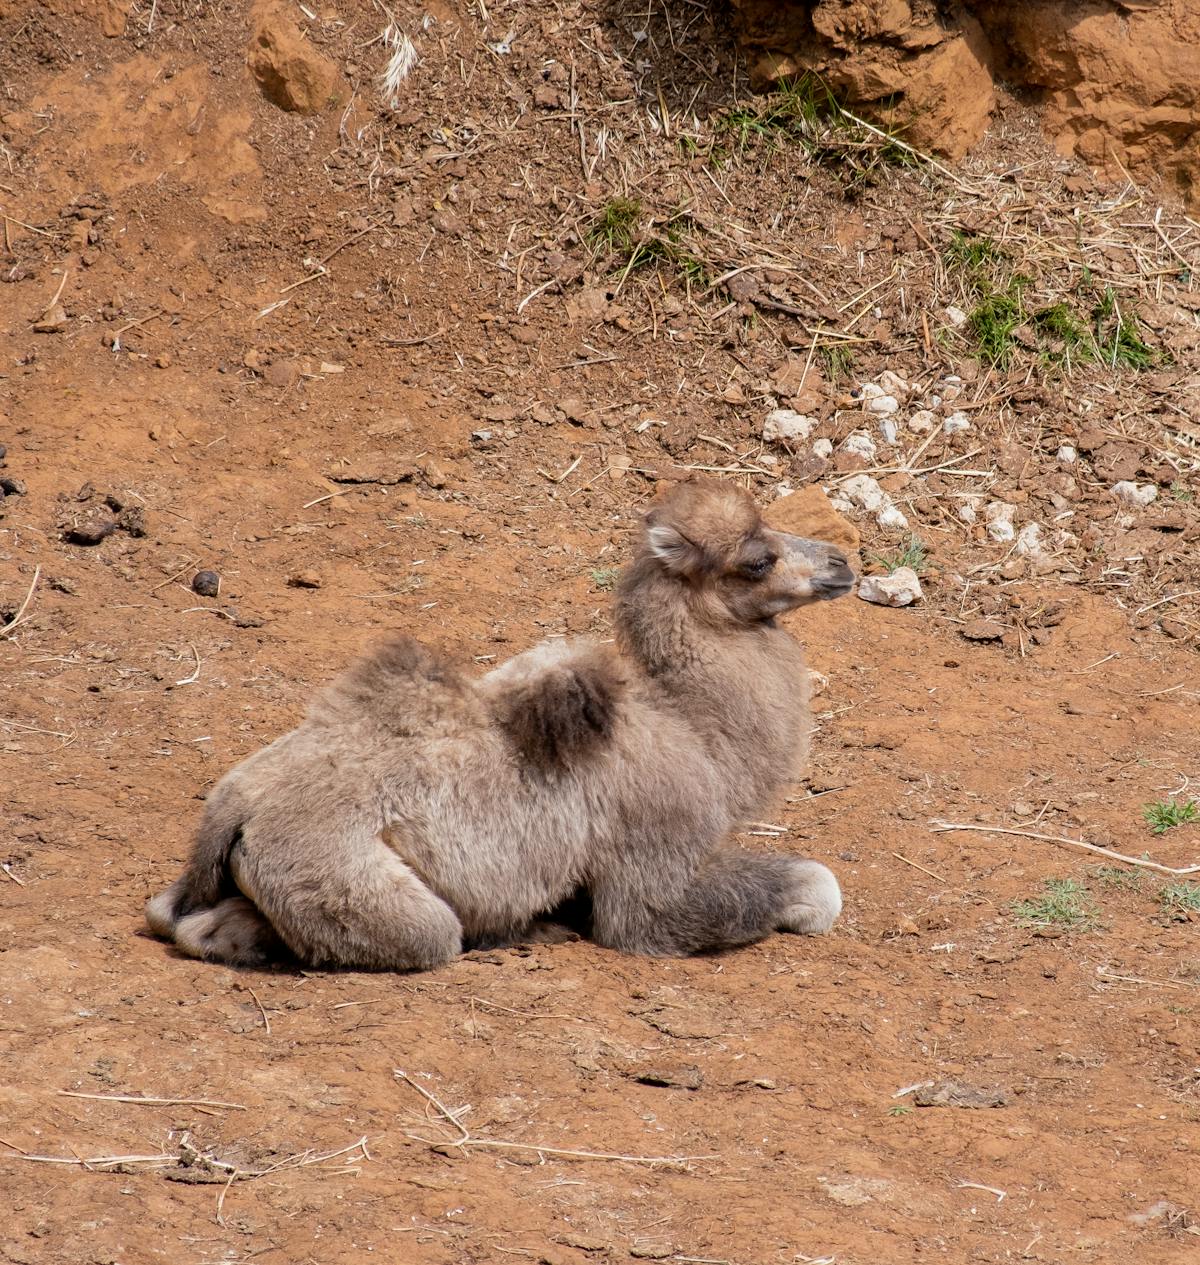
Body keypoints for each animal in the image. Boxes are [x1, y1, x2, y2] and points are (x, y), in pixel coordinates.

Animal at [145, 477, 855, 969]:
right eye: (757, 559)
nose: (841, 563)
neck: (695, 729)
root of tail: (235, 806)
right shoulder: (654, 860)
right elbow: (811, 887)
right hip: (351, 879)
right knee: (420, 933)